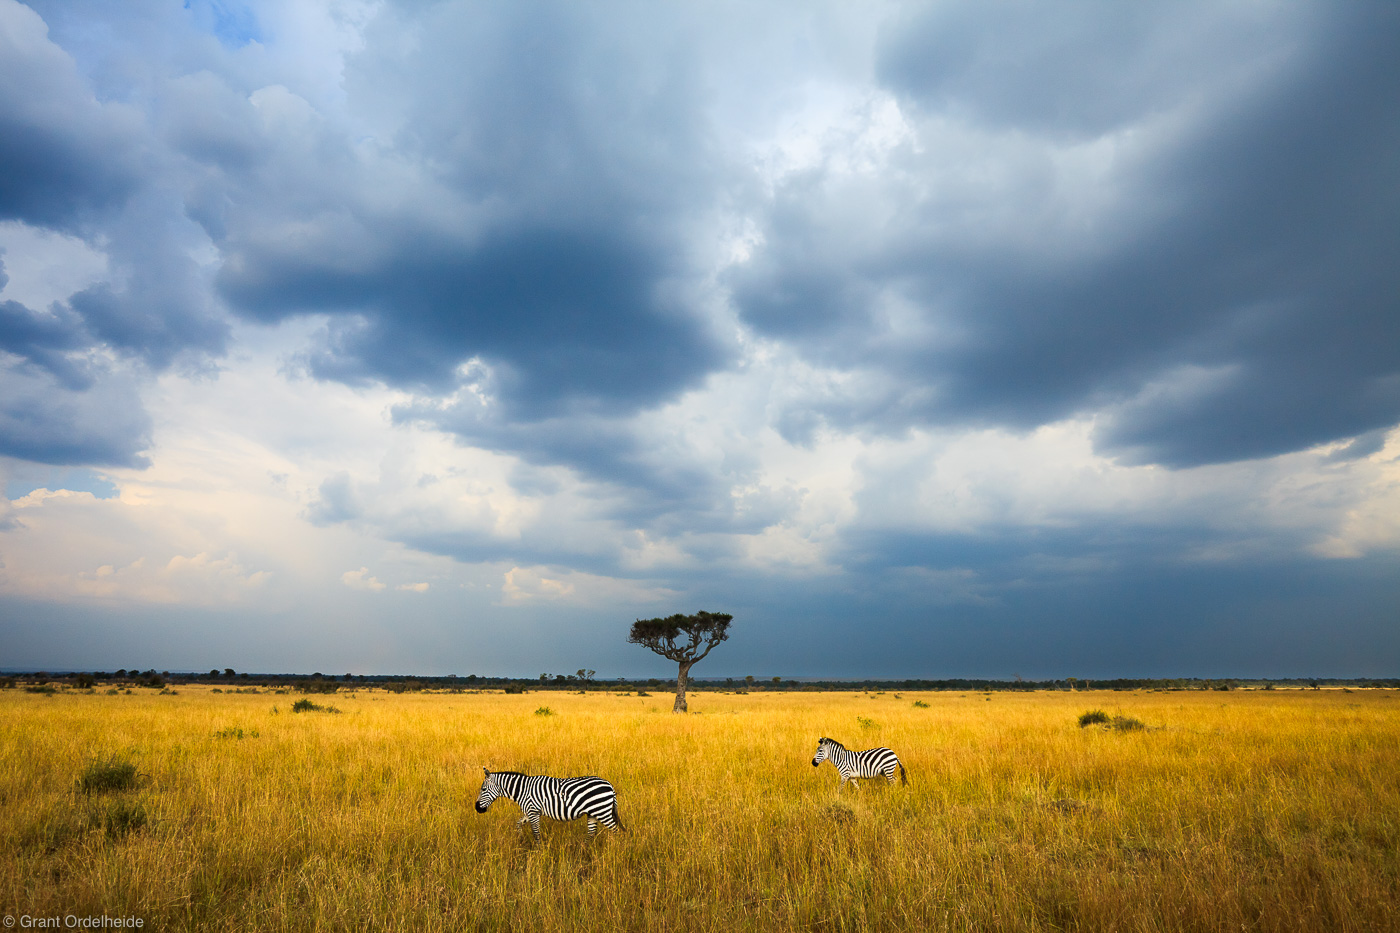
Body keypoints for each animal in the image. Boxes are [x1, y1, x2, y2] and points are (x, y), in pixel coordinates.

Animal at [474, 767, 624, 840]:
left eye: (483, 789)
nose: (477, 808)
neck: (522, 790)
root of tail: (609, 785)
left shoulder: (533, 812)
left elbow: (536, 833)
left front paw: (538, 852)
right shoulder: (530, 811)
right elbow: (518, 824)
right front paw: (521, 839)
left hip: (602, 811)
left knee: (616, 830)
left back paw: (615, 850)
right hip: (593, 813)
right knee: (591, 833)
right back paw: (585, 852)